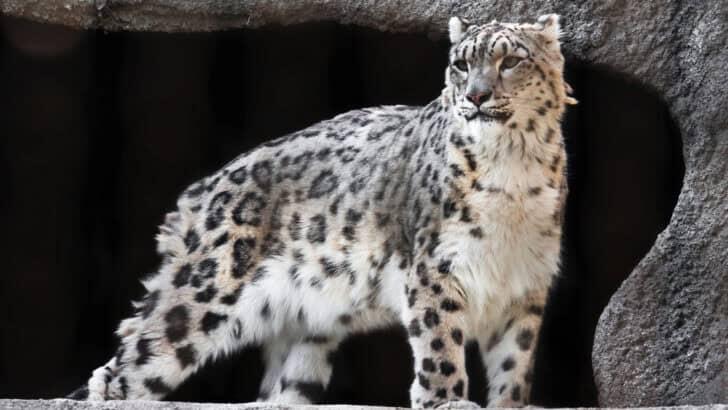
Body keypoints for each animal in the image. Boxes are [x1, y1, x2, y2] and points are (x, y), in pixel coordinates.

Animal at [67, 14, 576, 408]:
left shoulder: (525, 280)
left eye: (511, 61)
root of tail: (201, 190)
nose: (475, 96)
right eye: (461, 64)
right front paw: (447, 400)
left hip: (309, 332)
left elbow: (514, 359)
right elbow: (440, 342)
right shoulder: (435, 267)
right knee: (135, 356)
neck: (513, 172)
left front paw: (510, 403)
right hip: (209, 287)